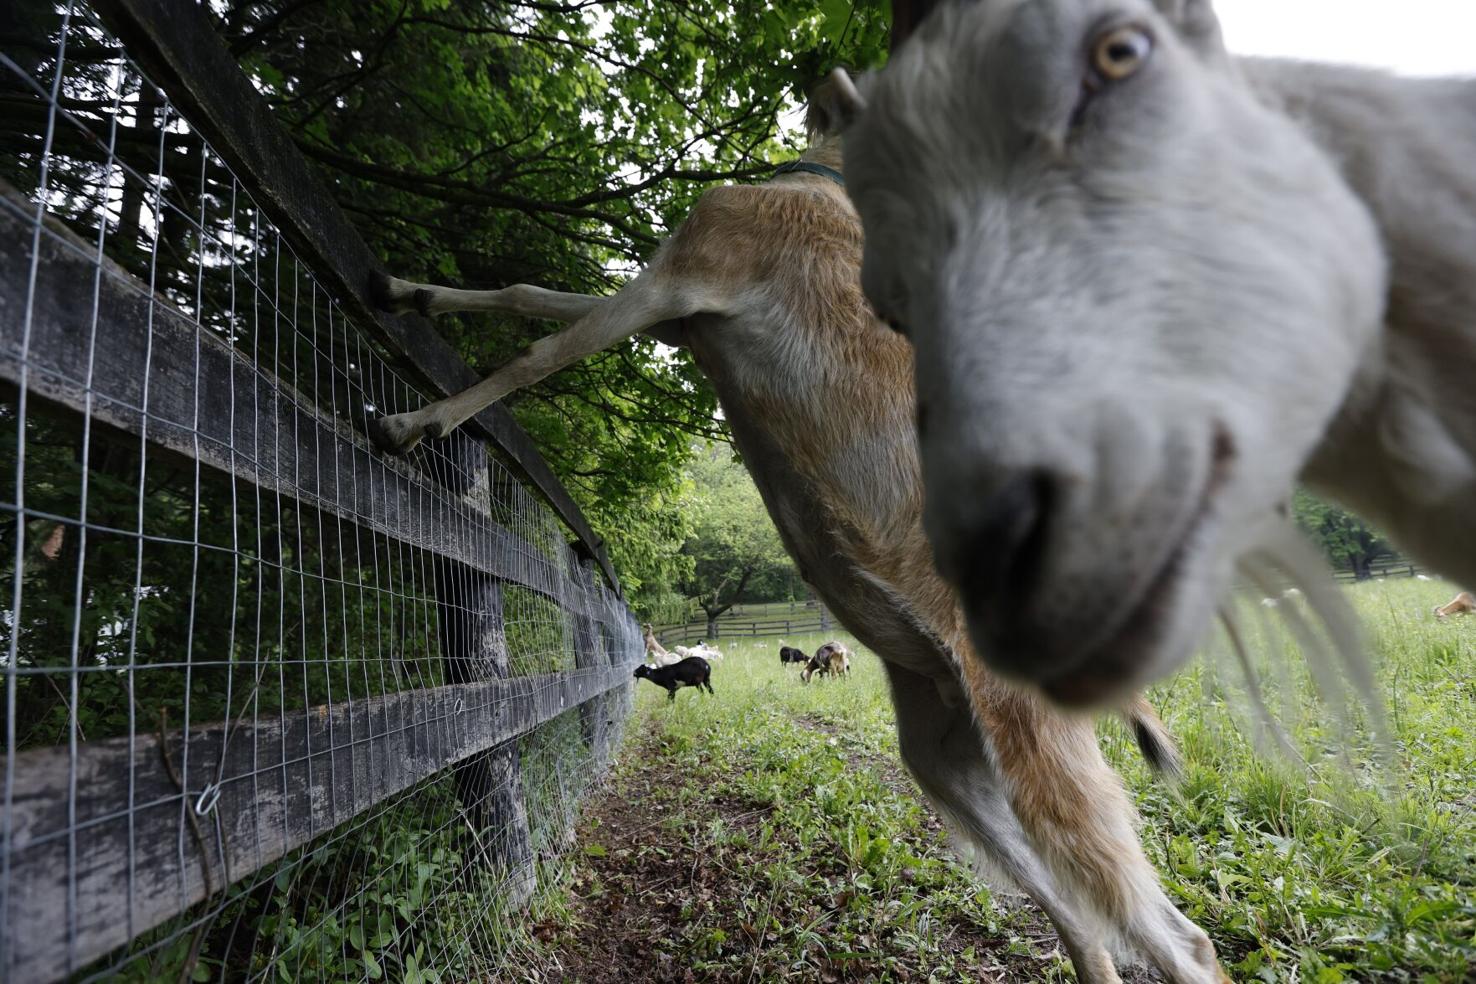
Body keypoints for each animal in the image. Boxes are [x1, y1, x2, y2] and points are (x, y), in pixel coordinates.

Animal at [368, 81, 1224, 982]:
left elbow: (539, 350)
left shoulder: (691, 273)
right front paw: (405, 291)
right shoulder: (677, 307)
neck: (823, 186)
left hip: (1035, 738)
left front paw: (413, 422)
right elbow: (527, 293)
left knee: (1178, 937)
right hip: (947, 755)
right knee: (1077, 915)